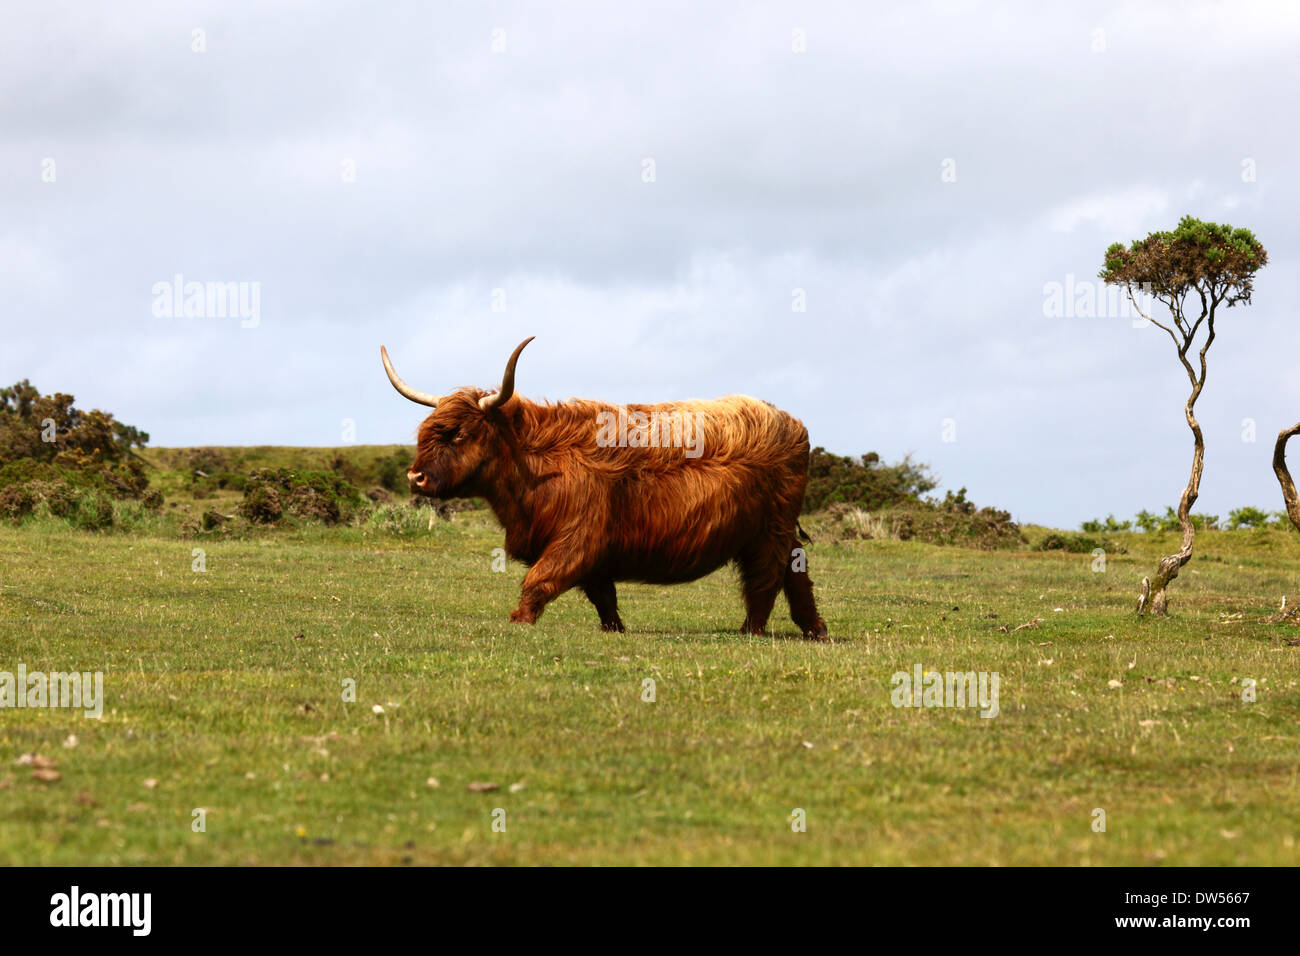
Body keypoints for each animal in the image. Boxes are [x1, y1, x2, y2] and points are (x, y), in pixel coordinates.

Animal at [380, 337, 828, 639]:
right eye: (426, 433)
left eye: (458, 435)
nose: (415, 477)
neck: (533, 464)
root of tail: (790, 421)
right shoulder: (595, 552)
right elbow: (603, 596)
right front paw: (615, 629)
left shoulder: (578, 536)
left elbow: (540, 579)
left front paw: (519, 620)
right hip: (774, 529)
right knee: (795, 570)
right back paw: (815, 630)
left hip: (769, 530)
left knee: (765, 578)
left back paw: (751, 630)